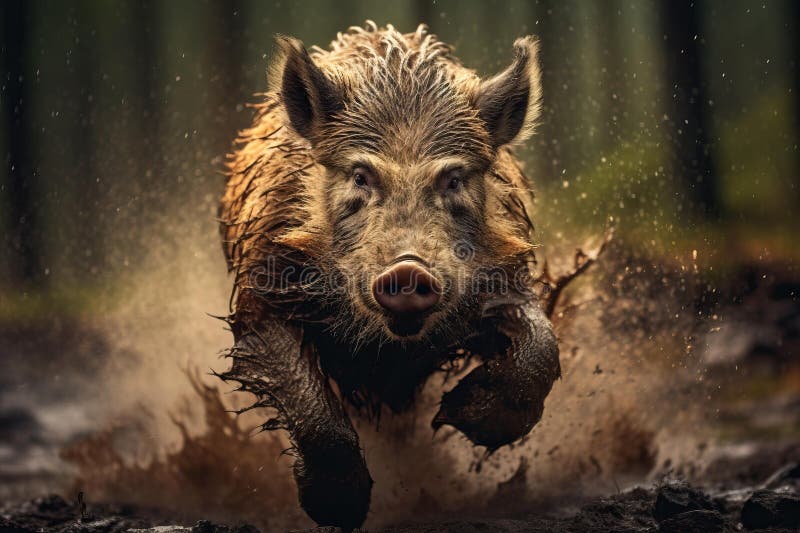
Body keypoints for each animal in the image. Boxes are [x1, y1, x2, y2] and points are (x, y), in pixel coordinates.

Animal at [217, 22, 560, 528]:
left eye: (453, 179)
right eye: (361, 175)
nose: (408, 268)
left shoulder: (507, 274)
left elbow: (541, 345)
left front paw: (455, 415)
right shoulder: (261, 292)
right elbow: (308, 402)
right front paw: (340, 513)